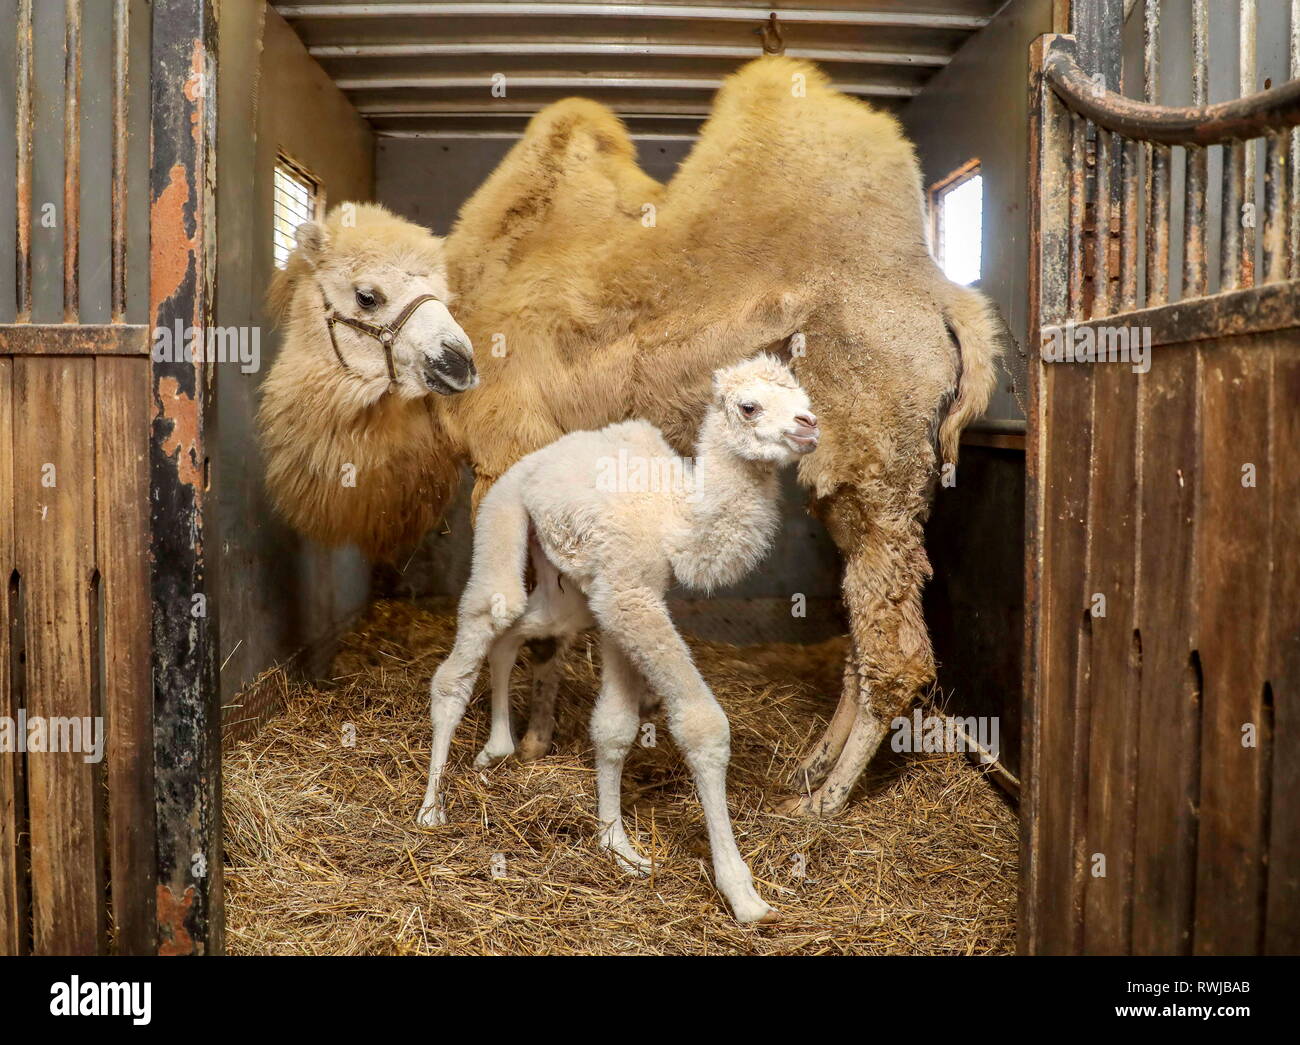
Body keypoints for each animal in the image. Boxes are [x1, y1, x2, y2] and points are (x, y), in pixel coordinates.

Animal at [259, 56, 1010, 818]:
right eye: (368, 293)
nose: (456, 362)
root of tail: (949, 307)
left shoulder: (506, 459)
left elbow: (525, 621)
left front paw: (524, 745)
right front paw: (545, 736)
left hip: (875, 448)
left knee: (895, 646)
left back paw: (821, 803)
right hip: (859, 480)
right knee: (863, 620)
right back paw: (808, 767)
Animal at [418, 355, 817, 923]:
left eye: (804, 397)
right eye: (749, 406)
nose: (809, 426)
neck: (677, 522)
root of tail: (528, 463)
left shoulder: (620, 599)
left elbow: (613, 728)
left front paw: (618, 847)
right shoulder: (631, 597)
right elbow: (702, 726)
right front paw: (743, 895)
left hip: (563, 581)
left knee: (521, 628)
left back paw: (497, 749)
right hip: (502, 513)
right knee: (477, 636)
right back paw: (432, 809)